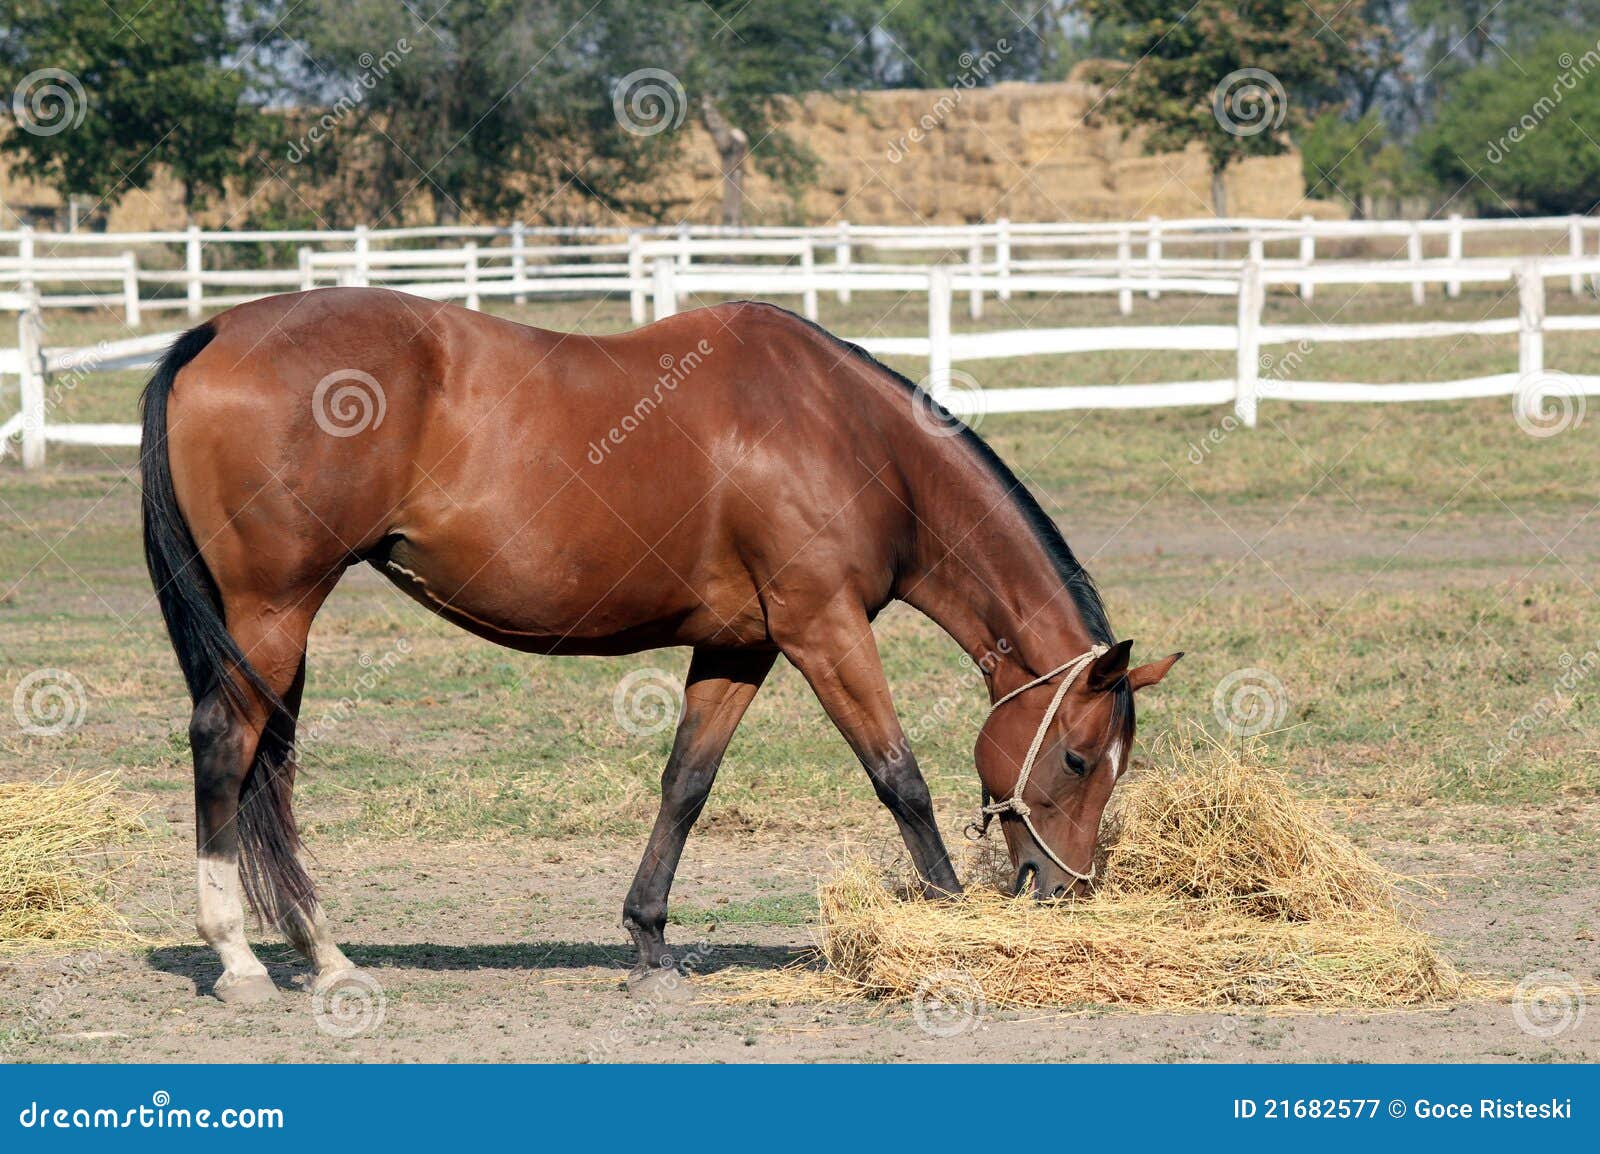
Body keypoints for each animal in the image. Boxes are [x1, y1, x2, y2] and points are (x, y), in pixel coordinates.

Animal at [139, 286, 1180, 1005]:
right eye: (1078, 757)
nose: (1063, 889)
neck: (849, 434)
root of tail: (215, 332)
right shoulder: (824, 629)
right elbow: (899, 778)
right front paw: (951, 921)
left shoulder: (742, 648)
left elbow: (686, 784)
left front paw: (648, 942)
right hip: (274, 611)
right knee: (226, 748)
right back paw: (240, 959)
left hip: (276, 625)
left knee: (267, 766)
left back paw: (322, 952)